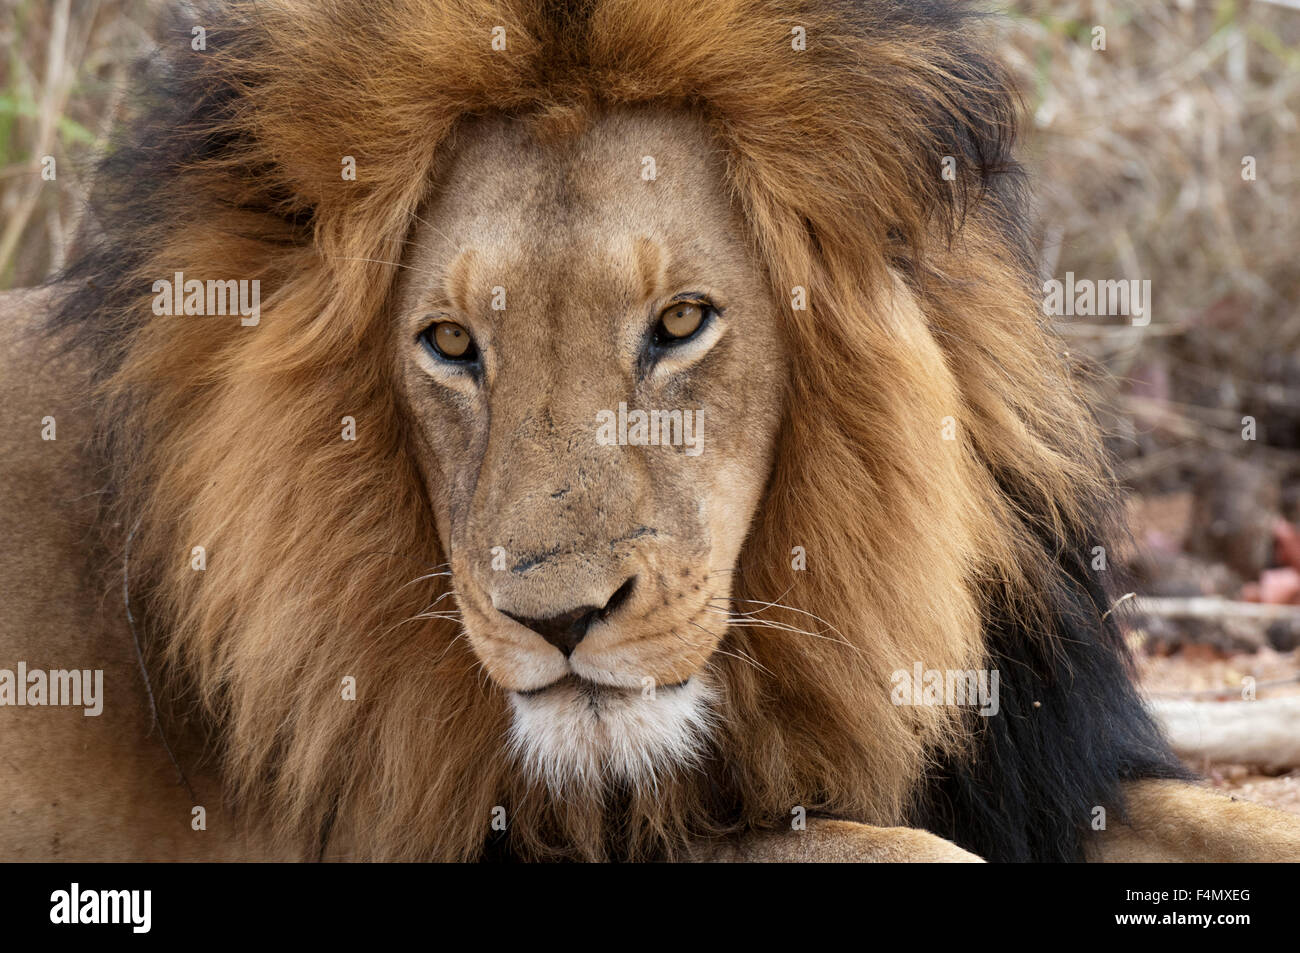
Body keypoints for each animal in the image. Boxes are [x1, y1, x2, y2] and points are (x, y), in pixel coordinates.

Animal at [2, 0, 1298, 863]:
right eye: (451, 344)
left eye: (679, 322)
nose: (558, 620)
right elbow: (906, 850)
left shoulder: (1041, 769)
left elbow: (1229, 815)